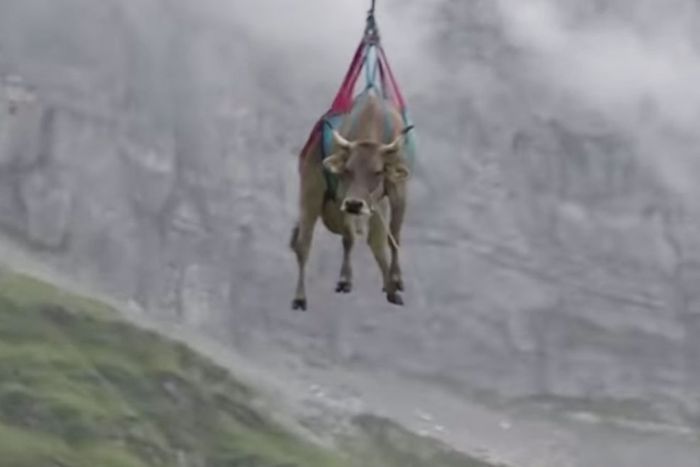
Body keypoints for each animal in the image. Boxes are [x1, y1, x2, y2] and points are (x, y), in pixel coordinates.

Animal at [290, 91, 414, 311]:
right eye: (347, 170)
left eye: (378, 171)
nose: (355, 204)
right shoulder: (342, 196)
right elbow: (350, 238)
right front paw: (346, 279)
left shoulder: (398, 192)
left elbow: (392, 238)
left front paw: (395, 280)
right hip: (310, 192)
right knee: (303, 245)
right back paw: (301, 297)